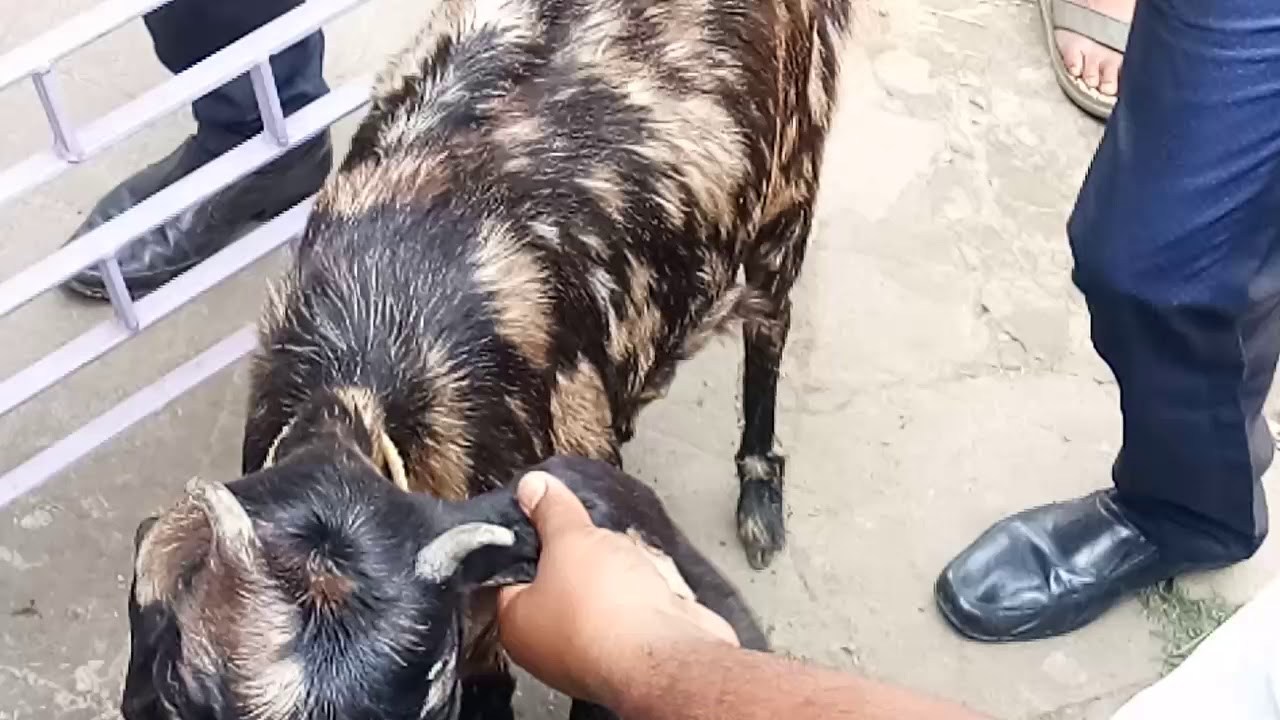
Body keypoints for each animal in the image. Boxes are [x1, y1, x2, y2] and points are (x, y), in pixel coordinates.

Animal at [122, 0, 850, 714]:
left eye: (430, 698)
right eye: (181, 692)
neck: (370, 359)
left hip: (788, 196)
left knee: (769, 333)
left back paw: (760, 495)